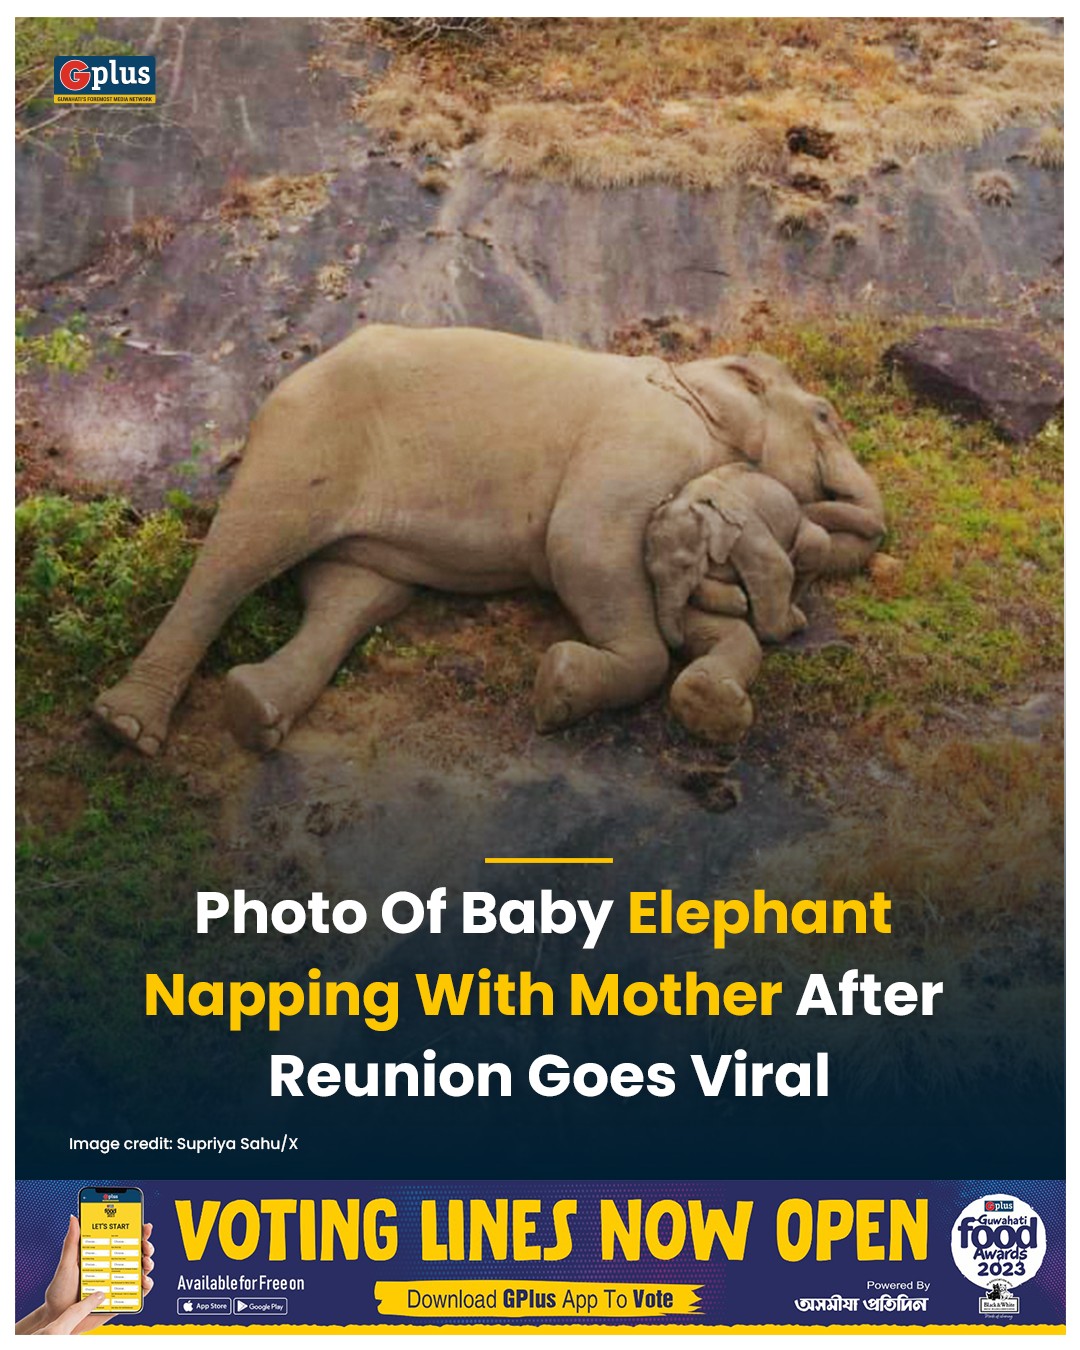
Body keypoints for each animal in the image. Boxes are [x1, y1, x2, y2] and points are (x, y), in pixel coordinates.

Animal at [93, 325, 884, 755]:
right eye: (825, 415)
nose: (799, 621)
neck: (696, 376)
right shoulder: (641, 438)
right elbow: (583, 545)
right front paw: (559, 690)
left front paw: (711, 697)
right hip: (304, 439)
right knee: (240, 553)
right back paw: (127, 728)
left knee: (353, 596)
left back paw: (252, 711)